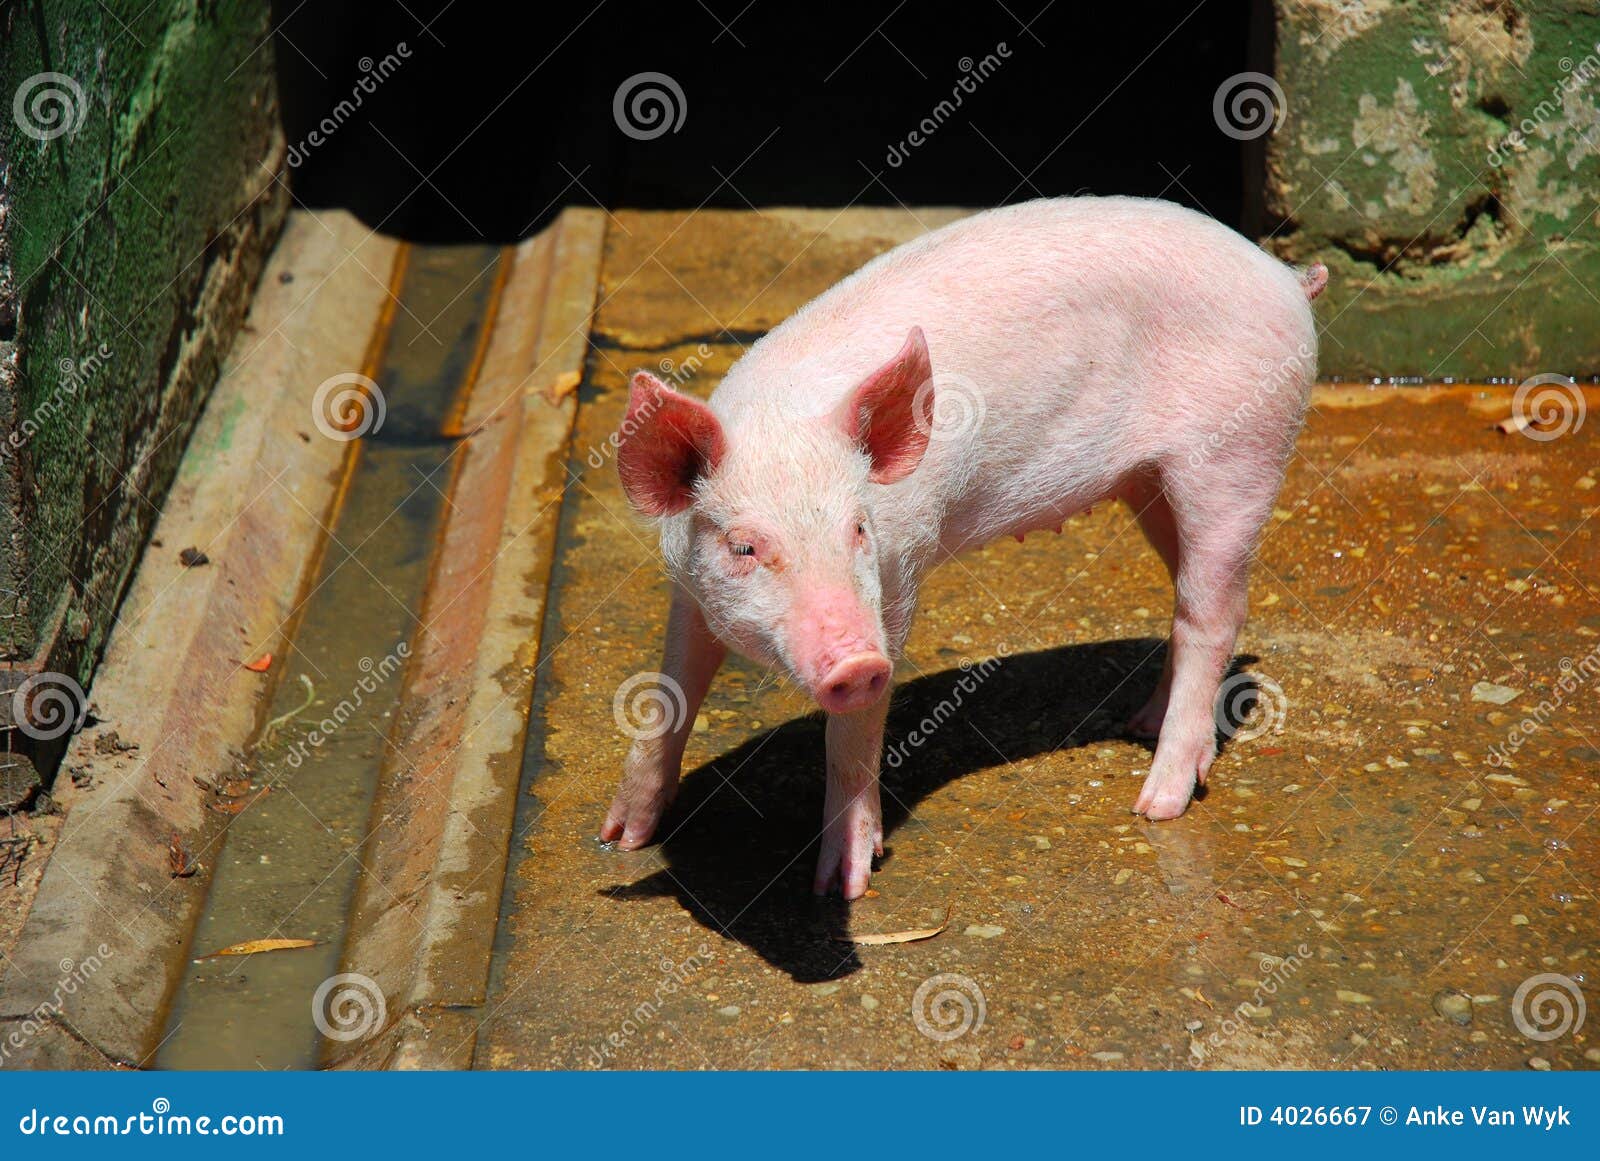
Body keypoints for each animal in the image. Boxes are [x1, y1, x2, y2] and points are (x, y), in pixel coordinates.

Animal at [602, 196, 1326, 899]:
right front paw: (620, 839)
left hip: (1239, 453)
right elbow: (671, 689)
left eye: (857, 529)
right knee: (1191, 600)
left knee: (1213, 612)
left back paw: (1156, 802)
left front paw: (842, 888)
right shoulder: (684, 579)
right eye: (744, 546)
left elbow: (853, 732)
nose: (856, 661)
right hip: (1151, 481)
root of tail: (1284, 277)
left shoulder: (898, 576)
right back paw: (1141, 723)